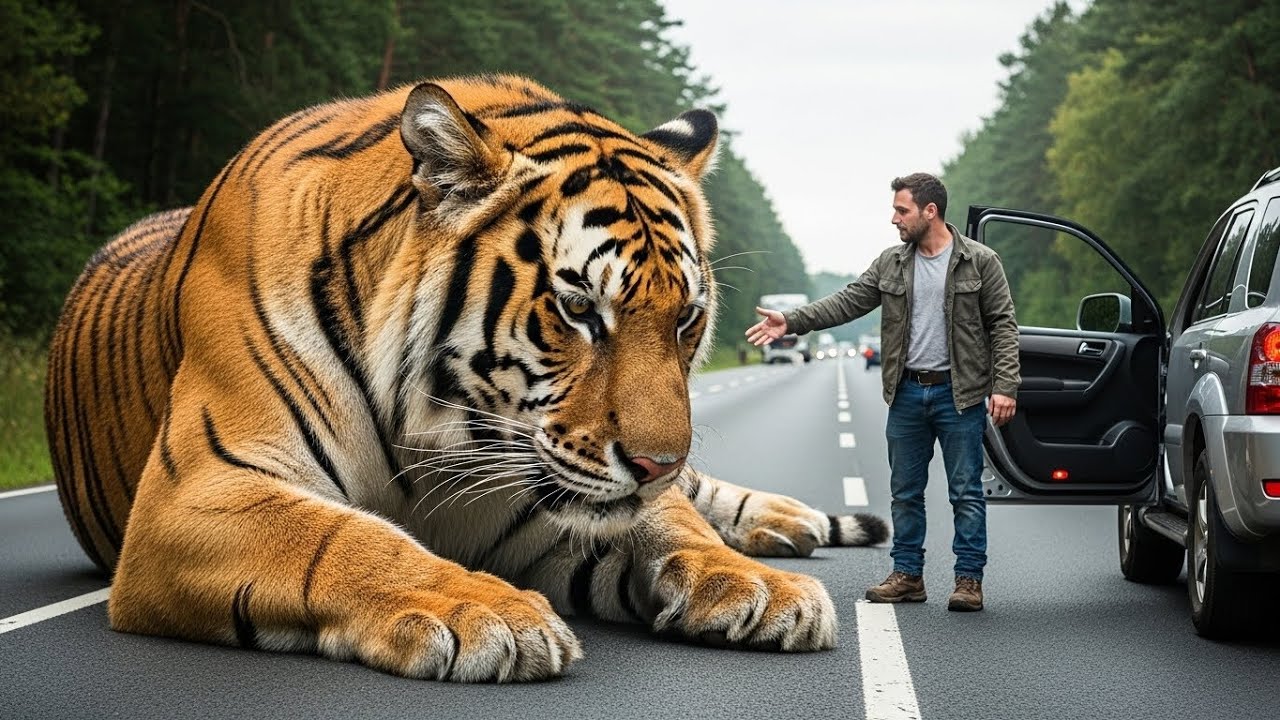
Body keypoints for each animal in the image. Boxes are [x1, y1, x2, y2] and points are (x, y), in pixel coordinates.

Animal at [44, 74, 888, 682]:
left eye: (685, 320)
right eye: (578, 308)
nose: (655, 464)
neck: (440, 433)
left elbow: (666, 522)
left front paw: (754, 584)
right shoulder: (195, 490)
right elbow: (343, 535)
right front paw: (488, 614)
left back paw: (788, 522)